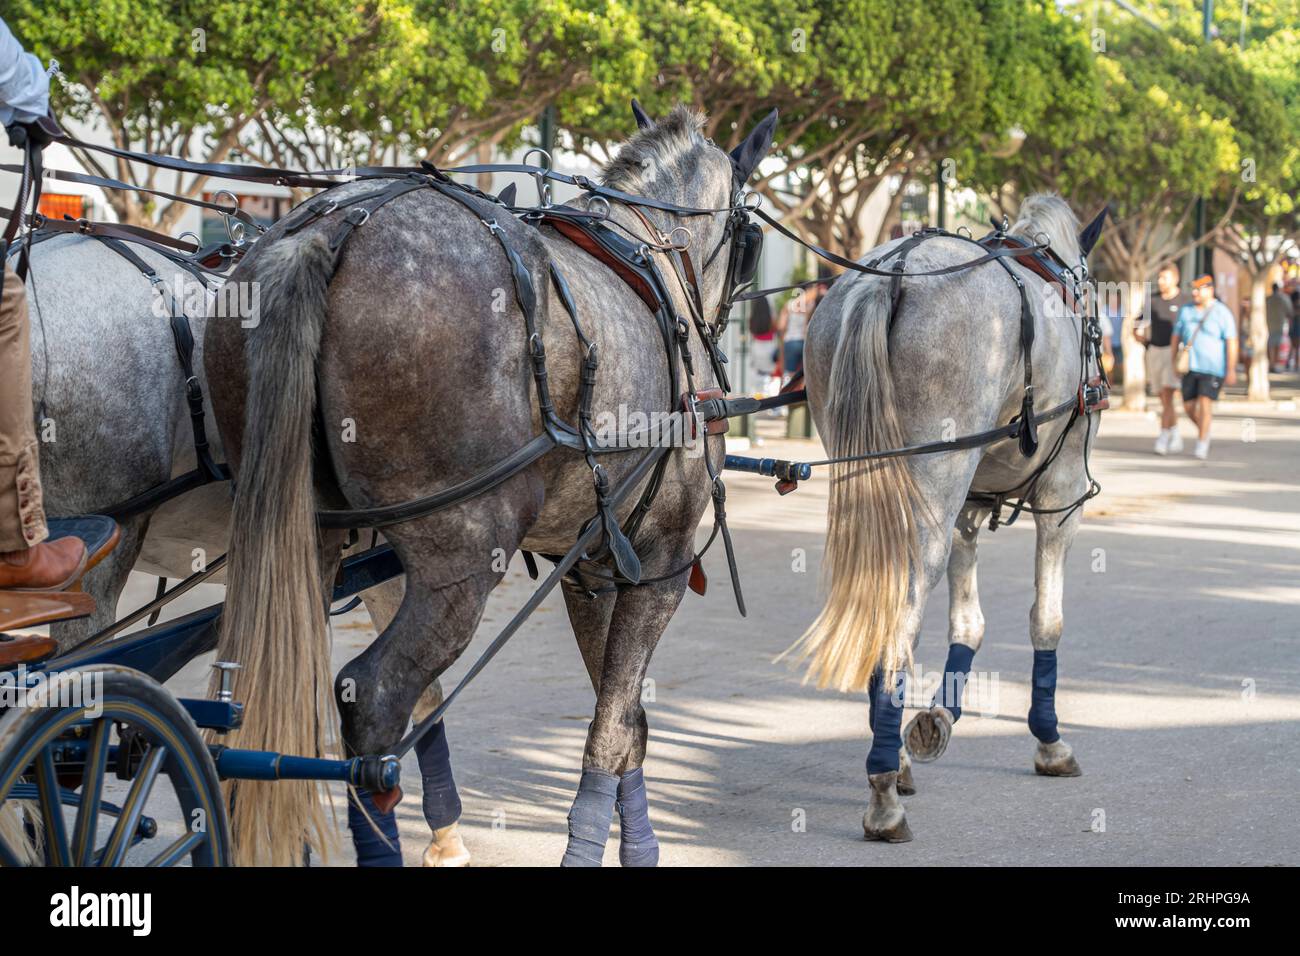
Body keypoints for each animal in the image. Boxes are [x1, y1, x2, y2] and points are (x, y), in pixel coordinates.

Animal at [203, 104, 778, 866]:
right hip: (466, 552)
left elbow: (623, 719)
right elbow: (615, 725)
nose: (727, 327)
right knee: (372, 698)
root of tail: (329, 229)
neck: (649, 247)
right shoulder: (660, 563)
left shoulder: (591, 567)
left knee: (254, 689)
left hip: (301, 537)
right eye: (750, 241)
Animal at [794, 193, 1106, 842]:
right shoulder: (1061, 497)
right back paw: (884, 796)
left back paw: (892, 760)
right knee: (902, 607)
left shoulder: (967, 506)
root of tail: (889, 276)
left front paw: (939, 715)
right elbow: (1047, 620)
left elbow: (968, 625)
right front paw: (1049, 740)